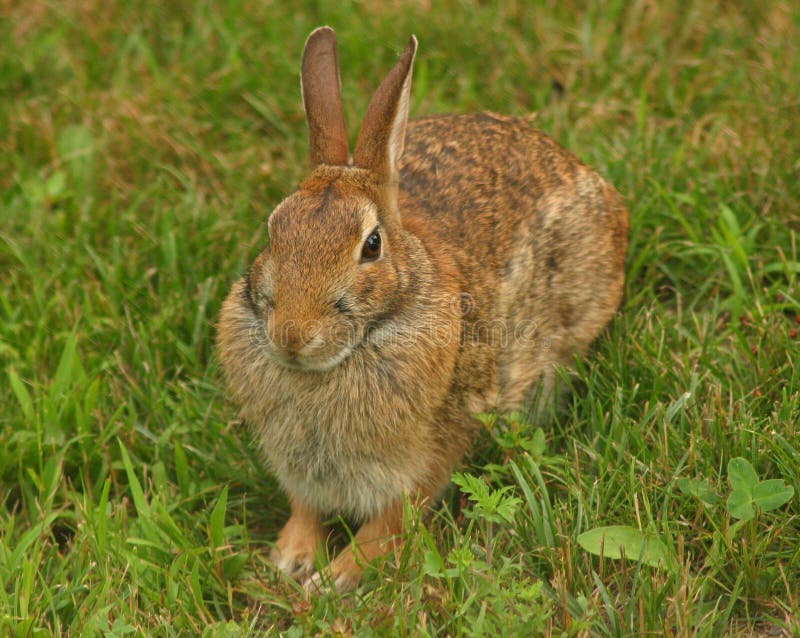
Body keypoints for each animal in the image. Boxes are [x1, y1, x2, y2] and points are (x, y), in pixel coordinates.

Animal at [217, 26, 628, 593]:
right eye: (273, 230)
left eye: (371, 245)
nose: (291, 335)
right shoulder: (299, 463)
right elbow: (306, 507)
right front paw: (291, 557)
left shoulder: (432, 448)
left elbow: (392, 521)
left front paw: (336, 578)